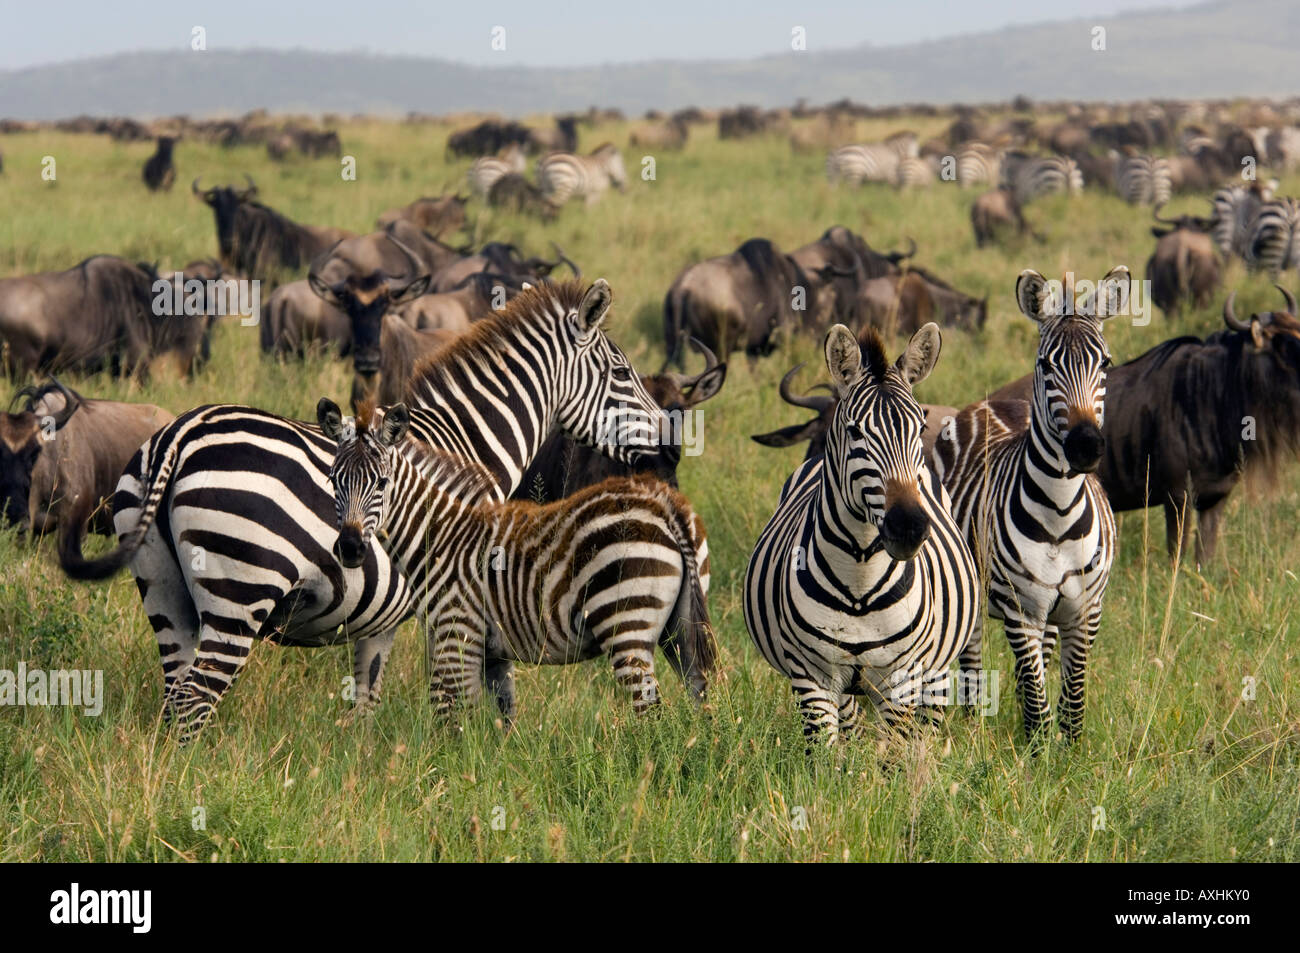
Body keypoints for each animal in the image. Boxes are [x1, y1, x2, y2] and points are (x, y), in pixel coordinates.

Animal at [62, 280, 675, 741]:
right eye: (624, 374)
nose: (671, 447)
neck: (464, 446)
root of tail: (180, 435)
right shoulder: (465, 598)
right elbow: (486, 698)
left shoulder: (380, 623)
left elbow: (367, 707)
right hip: (241, 590)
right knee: (194, 702)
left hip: (164, 593)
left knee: (174, 700)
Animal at [317, 399, 717, 722]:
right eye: (333, 481)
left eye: (382, 483)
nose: (350, 548)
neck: (440, 534)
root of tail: (664, 505)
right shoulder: (492, 651)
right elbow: (500, 718)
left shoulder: (455, 632)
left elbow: (447, 718)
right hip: (680, 627)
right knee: (702, 697)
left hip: (626, 622)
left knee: (651, 713)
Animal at [743, 322, 979, 748]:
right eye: (854, 431)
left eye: (920, 427)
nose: (908, 528)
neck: (859, 576)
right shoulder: (813, 678)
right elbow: (824, 756)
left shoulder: (901, 679)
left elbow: (894, 754)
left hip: (936, 669)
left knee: (927, 730)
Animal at [929, 267, 1124, 742]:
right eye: (1046, 365)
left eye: (1106, 364)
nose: (1085, 447)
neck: (1059, 513)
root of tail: (988, 403)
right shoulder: (1022, 610)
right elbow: (1038, 704)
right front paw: (1037, 754)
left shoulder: (1084, 611)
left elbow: (1071, 700)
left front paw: (1068, 753)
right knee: (974, 663)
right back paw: (973, 724)